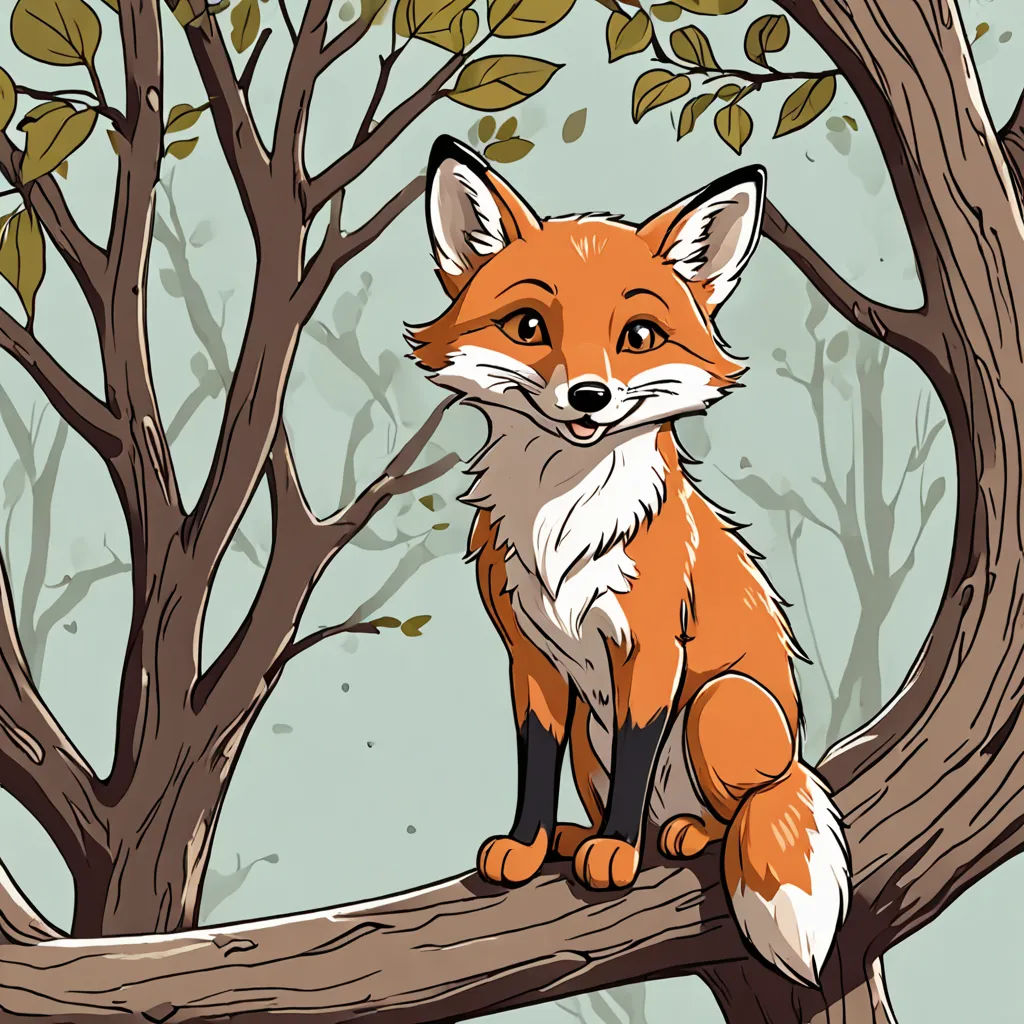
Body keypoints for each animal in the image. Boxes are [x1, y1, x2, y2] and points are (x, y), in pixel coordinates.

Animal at [405, 134, 851, 986]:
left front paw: (618, 852)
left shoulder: (652, 649)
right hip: (593, 729)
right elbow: (533, 763)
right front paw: (531, 845)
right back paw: (579, 837)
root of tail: (800, 759)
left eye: (638, 337)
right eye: (527, 325)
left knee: (732, 811)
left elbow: (641, 754)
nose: (589, 396)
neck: (562, 520)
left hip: (723, 707)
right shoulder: (531, 657)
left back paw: (673, 835)